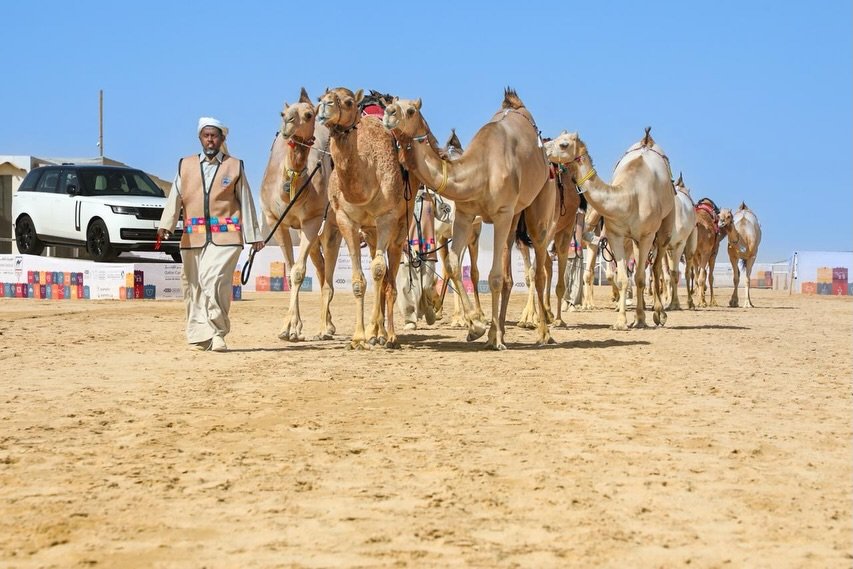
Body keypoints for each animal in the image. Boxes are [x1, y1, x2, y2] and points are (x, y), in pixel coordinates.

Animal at [259, 88, 341, 341]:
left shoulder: (312, 220)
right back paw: (328, 325)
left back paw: (325, 329)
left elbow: (297, 272)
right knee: (322, 268)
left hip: (331, 225)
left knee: (328, 271)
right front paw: (290, 327)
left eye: (308, 115)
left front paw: (291, 328)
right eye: (283, 113)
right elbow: (289, 272)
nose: (288, 124)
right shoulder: (276, 222)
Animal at [317, 87, 409, 349]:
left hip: (399, 228)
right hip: (370, 232)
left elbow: (378, 271)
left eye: (349, 102)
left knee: (389, 281)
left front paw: (375, 335)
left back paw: (388, 335)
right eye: (320, 98)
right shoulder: (345, 219)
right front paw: (359, 337)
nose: (325, 107)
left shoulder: (386, 217)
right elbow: (359, 280)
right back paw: (376, 332)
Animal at [384, 90, 555, 349]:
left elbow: (493, 276)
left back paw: (544, 333)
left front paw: (490, 335)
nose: (388, 113)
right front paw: (476, 327)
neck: (480, 172)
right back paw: (502, 329)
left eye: (411, 110)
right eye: (392, 104)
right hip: (514, 216)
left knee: (539, 267)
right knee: (509, 275)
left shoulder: (501, 213)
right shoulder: (465, 214)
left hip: (538, 203)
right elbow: (454, 265)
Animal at [545, 129, 675, 329]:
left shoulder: (647, 235)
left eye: (564, 144)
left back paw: (659, 313)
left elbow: (639, 278)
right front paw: (622, 321)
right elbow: (622, 278)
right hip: (634, 240)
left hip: (663, 227)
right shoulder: (616, 235)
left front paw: (642, 319)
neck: (629, 197)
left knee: (656, 267)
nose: (544, 147)